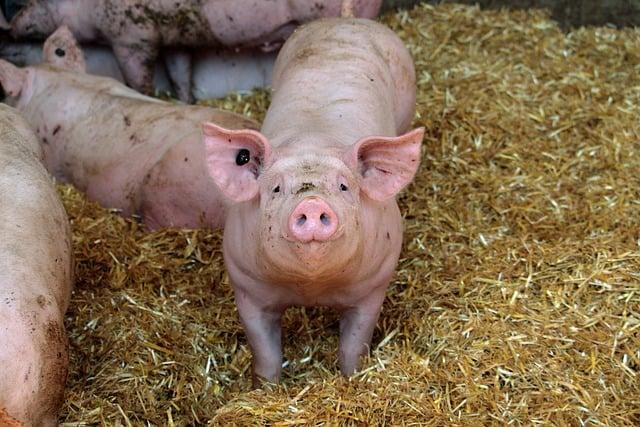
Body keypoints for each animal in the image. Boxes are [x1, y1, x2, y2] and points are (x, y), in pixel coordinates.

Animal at [10, 0, 383, 101]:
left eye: (28, 2)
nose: (9, 22)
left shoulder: (131, 36)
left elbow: (139, 79)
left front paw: (146, 96)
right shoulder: (175, 39)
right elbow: (179, 73)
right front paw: (185, 101)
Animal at [200, 5, 424, 384]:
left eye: (344, 186)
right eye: (276, 188)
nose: (312, 202)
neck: (311, 288)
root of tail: (344, 20)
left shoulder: (373, 284)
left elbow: (354, 343)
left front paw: (350, 378)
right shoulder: (246, 285)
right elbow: (265, 351)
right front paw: (266, 387)